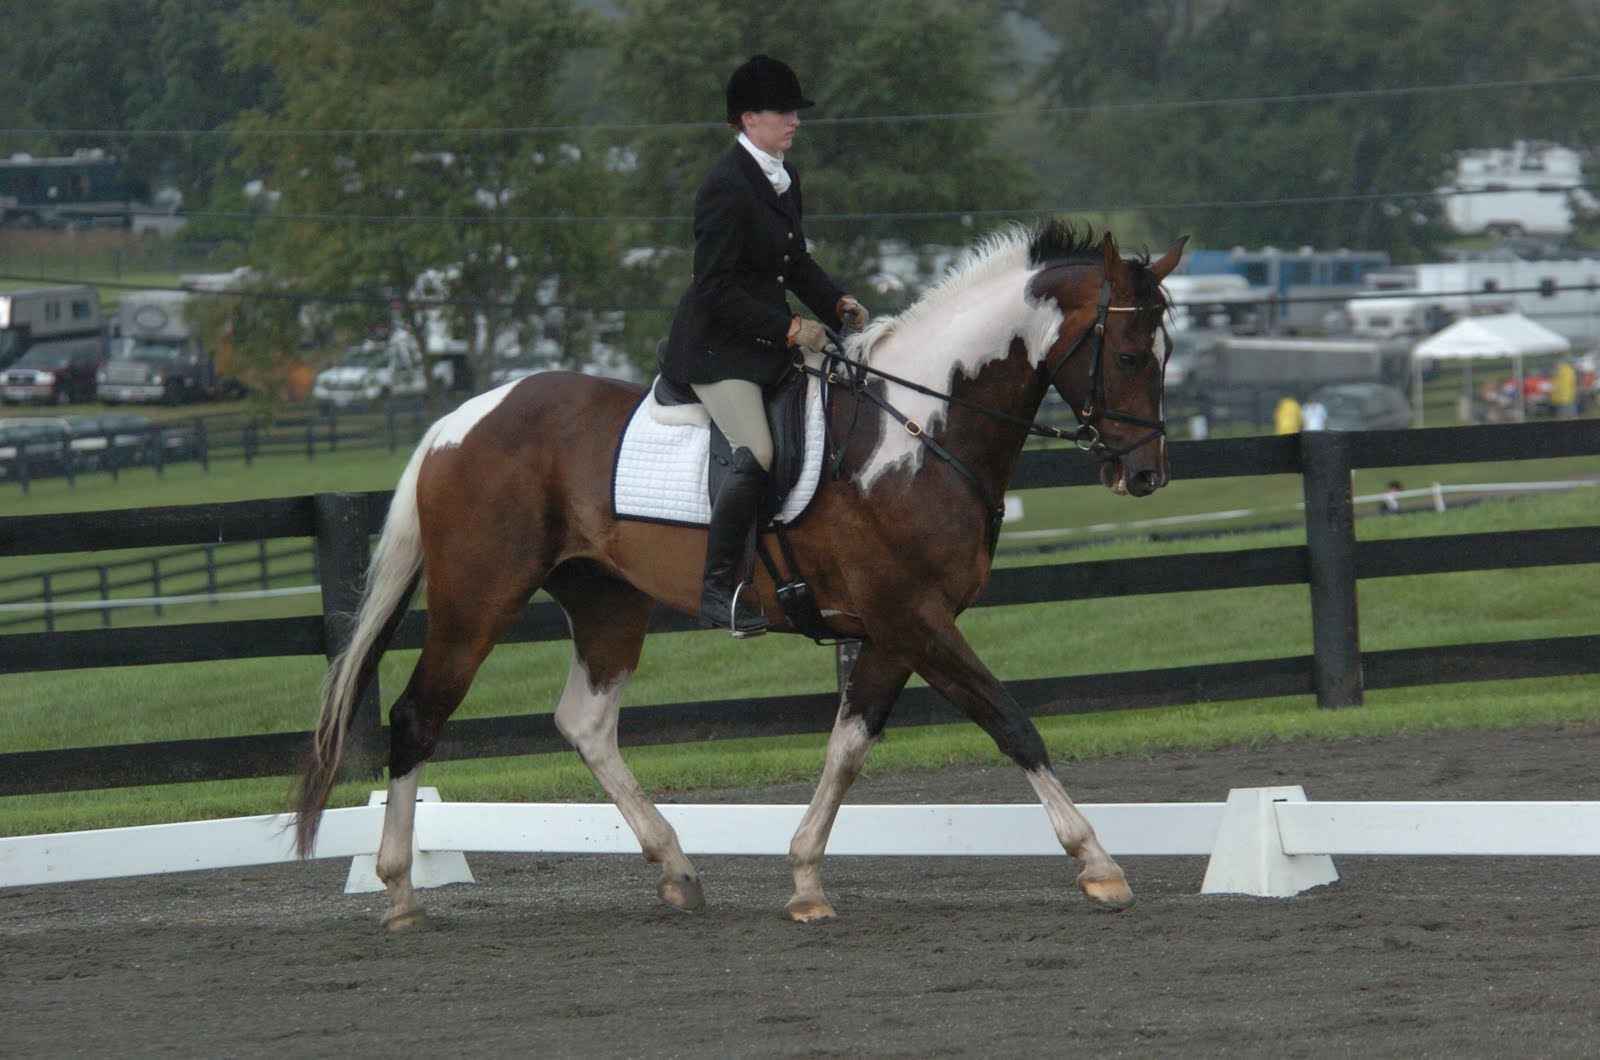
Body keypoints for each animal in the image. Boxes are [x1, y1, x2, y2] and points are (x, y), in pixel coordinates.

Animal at [294, 219, 1186, 930]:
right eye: (1128, 354)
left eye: (1167, 353)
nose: (1144, 477)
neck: (918, 432)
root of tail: (460, 420)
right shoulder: (916, 618)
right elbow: (1011, 722)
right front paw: (1098, 864)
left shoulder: (893, 630)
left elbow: (848, 747)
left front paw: (805, 879)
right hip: (479, 599)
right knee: (418, 718)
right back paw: (400, 894)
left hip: (607, 602)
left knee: (586, 722)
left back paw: (677, 870)